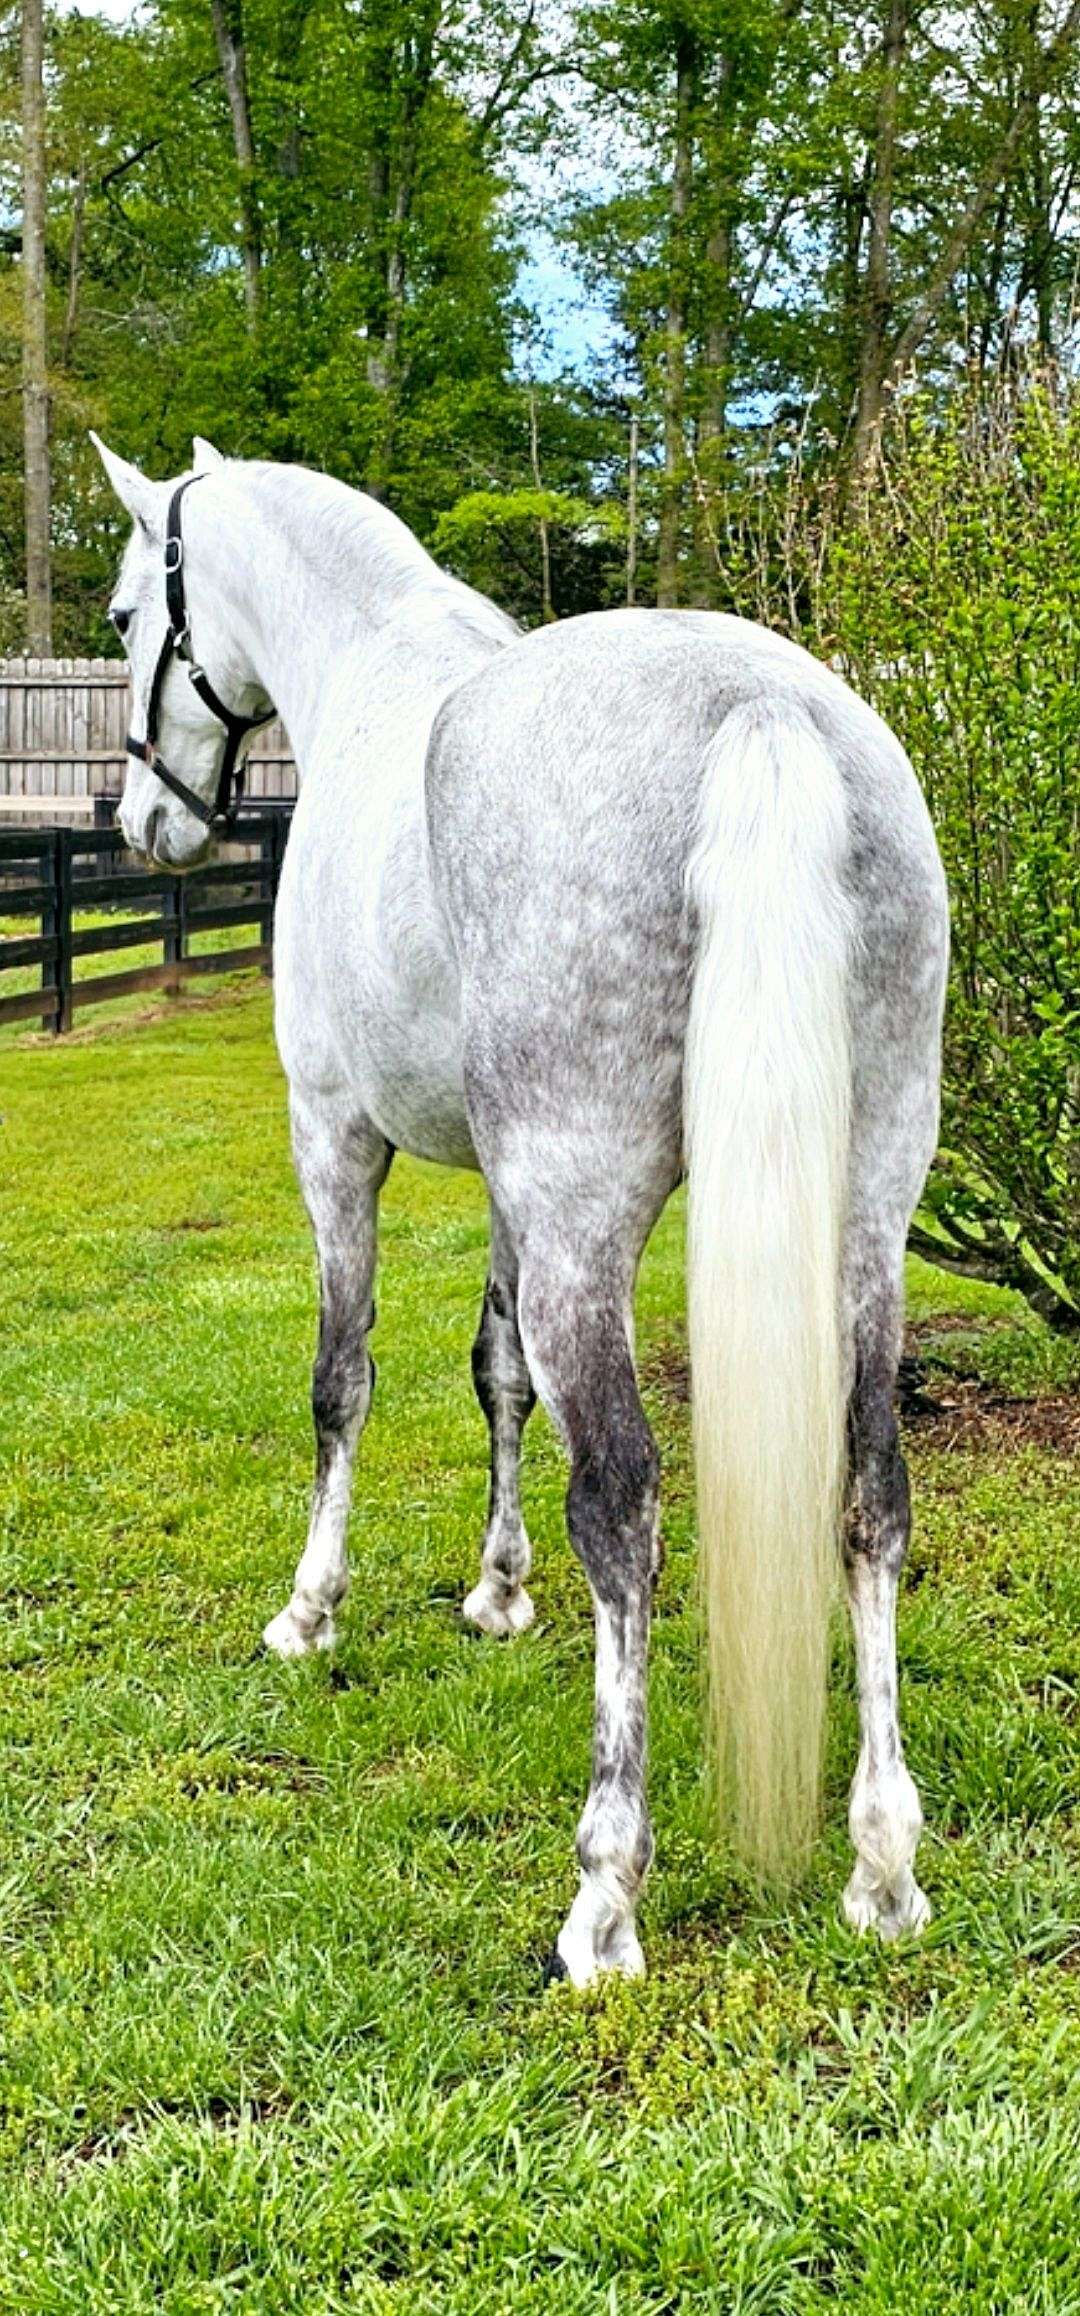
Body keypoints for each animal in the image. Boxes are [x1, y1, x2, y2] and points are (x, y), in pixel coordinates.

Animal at [92, 433, 949, 1986]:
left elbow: (344, 1381)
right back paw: (883, 1867)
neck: (370, 665)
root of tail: (764, 706)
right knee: (870, 1495)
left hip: (584, 1216)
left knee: (626, 1506)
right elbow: (498, 1378)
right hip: (861, 1220)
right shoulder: (503, 1191)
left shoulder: (336, 1139)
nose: (146, 824)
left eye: (130, 616)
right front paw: (497, 1592)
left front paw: (309, 1610)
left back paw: (606, 1895)